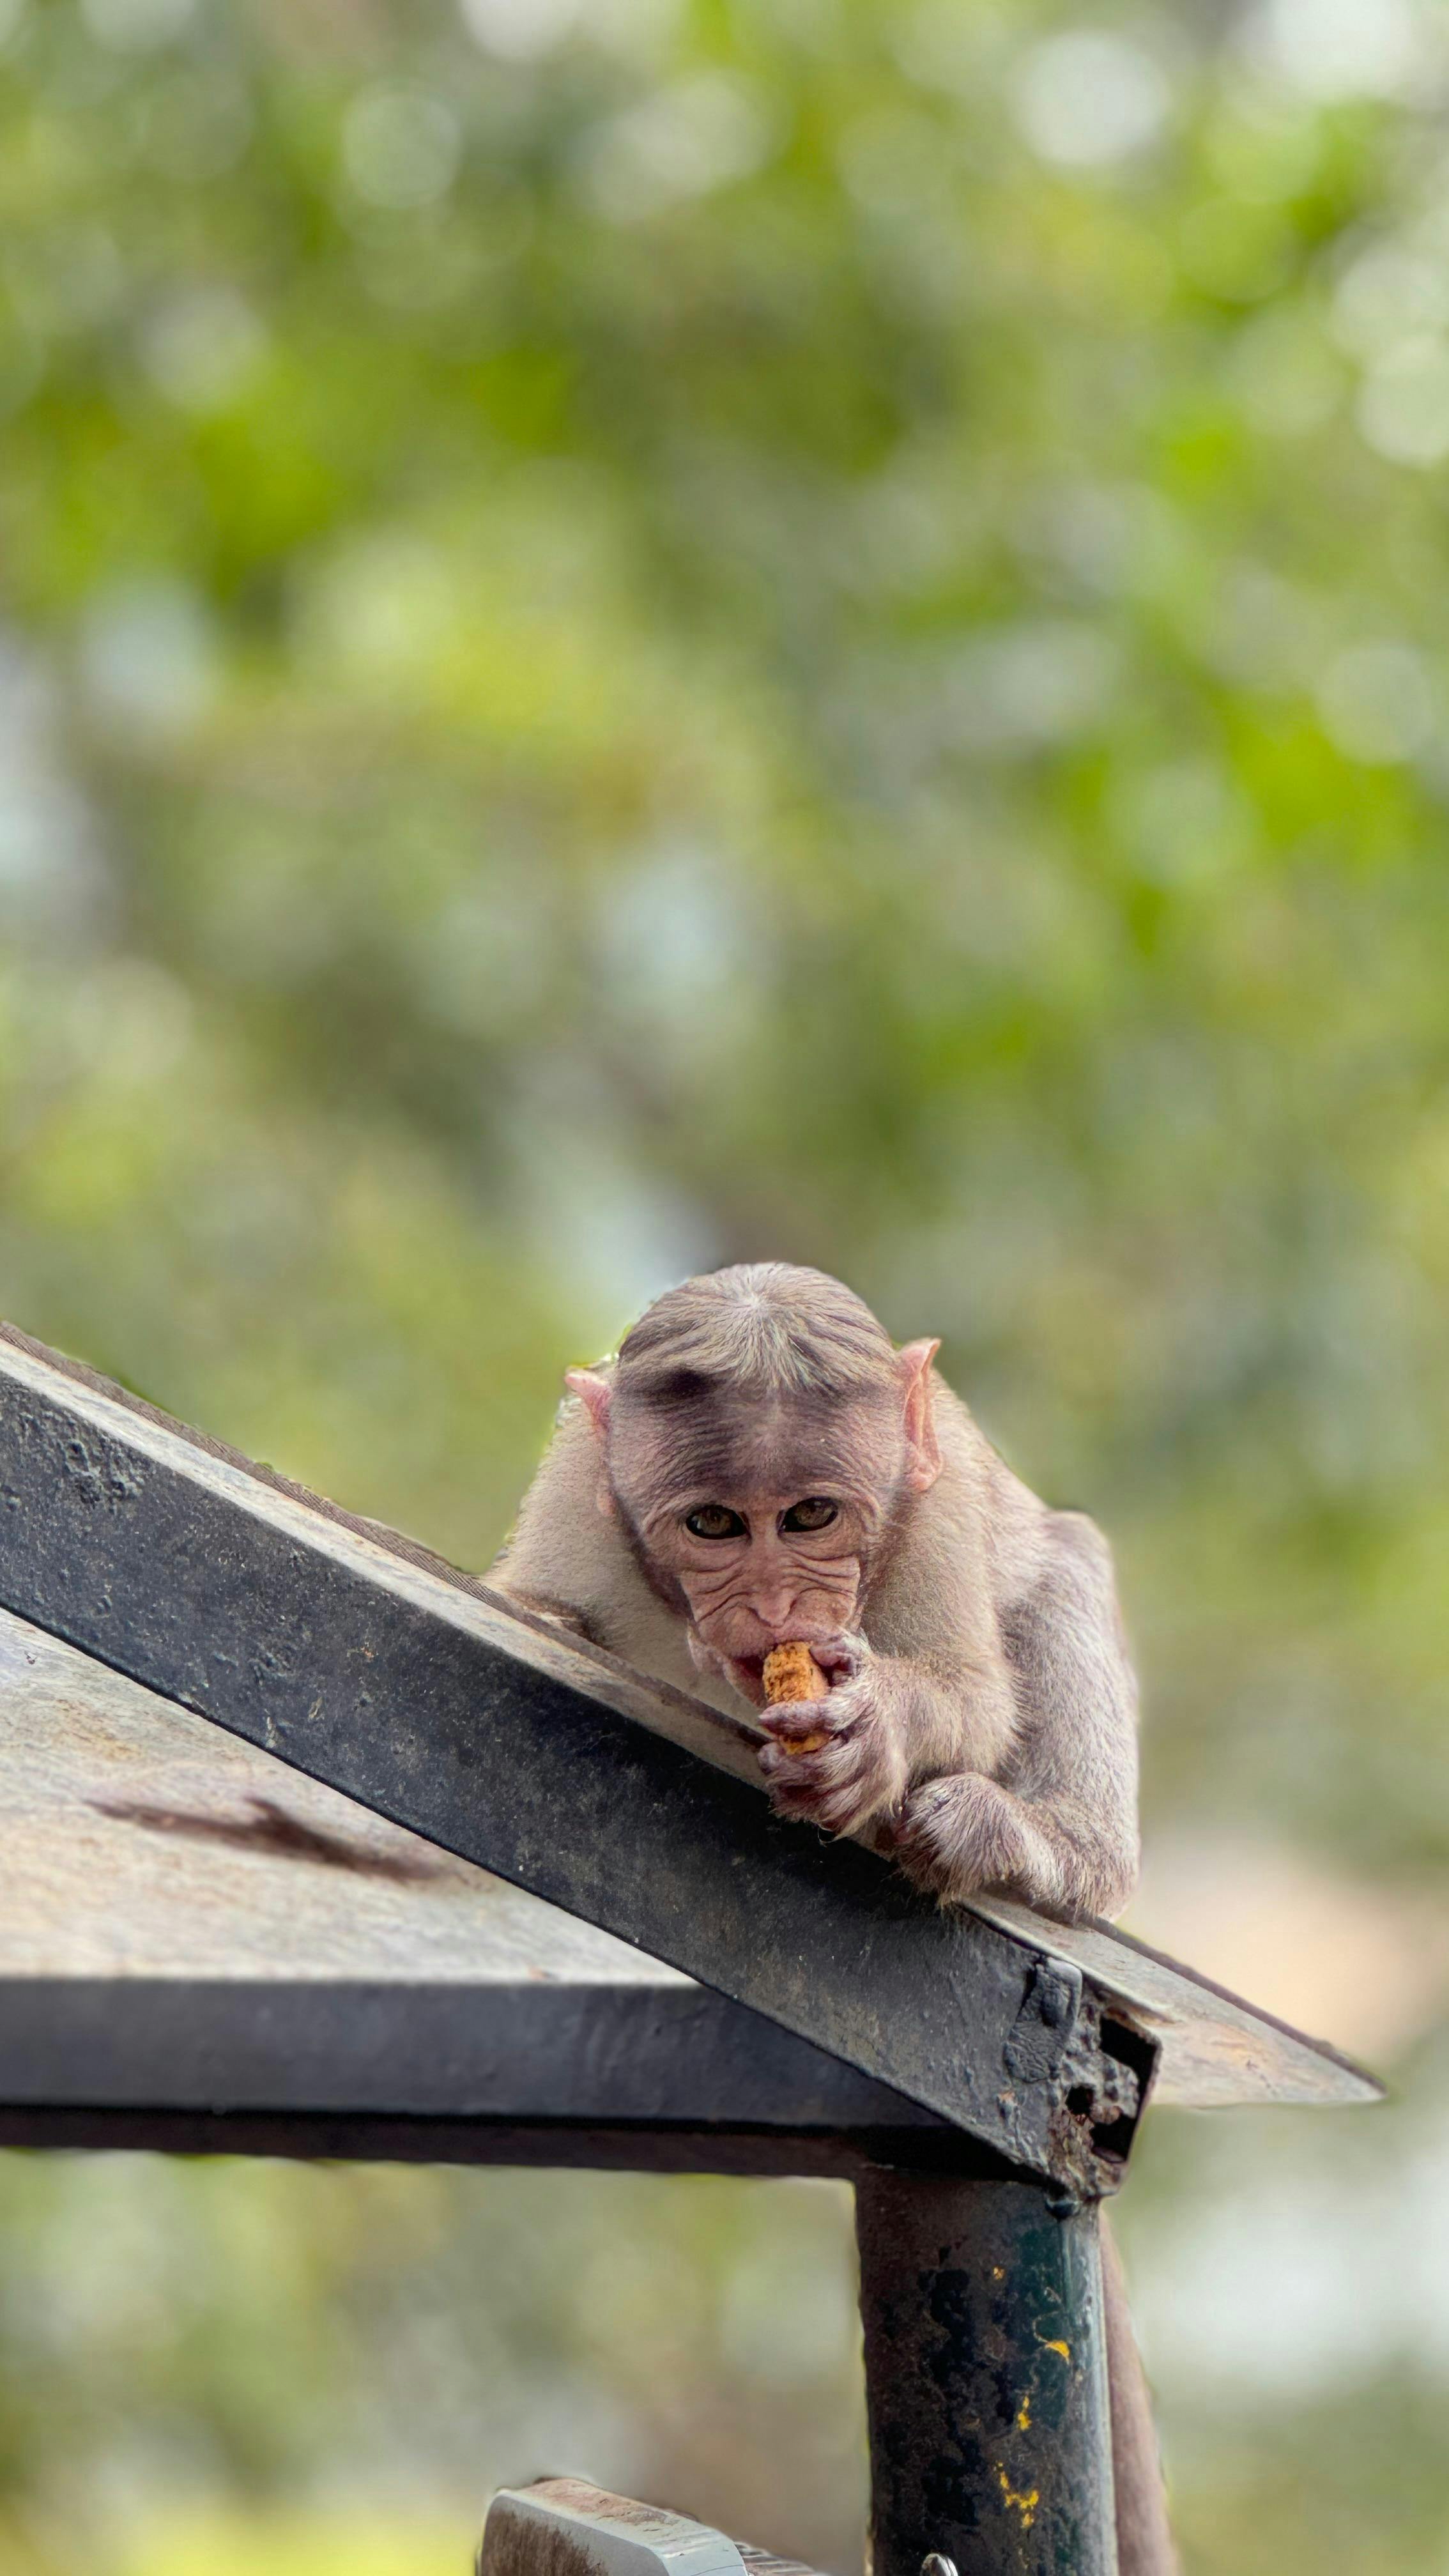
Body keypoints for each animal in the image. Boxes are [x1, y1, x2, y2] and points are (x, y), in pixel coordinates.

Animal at [490, 1262, 1174, 2576]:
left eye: (810, 1516)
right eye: (714, 1527)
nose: (773, 1602)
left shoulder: (932, 1516)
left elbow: (970, 1688)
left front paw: (884, 1732)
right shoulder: (575, 1500)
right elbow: (532, 1603)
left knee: (1061, 1567)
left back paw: (1021, 1840)